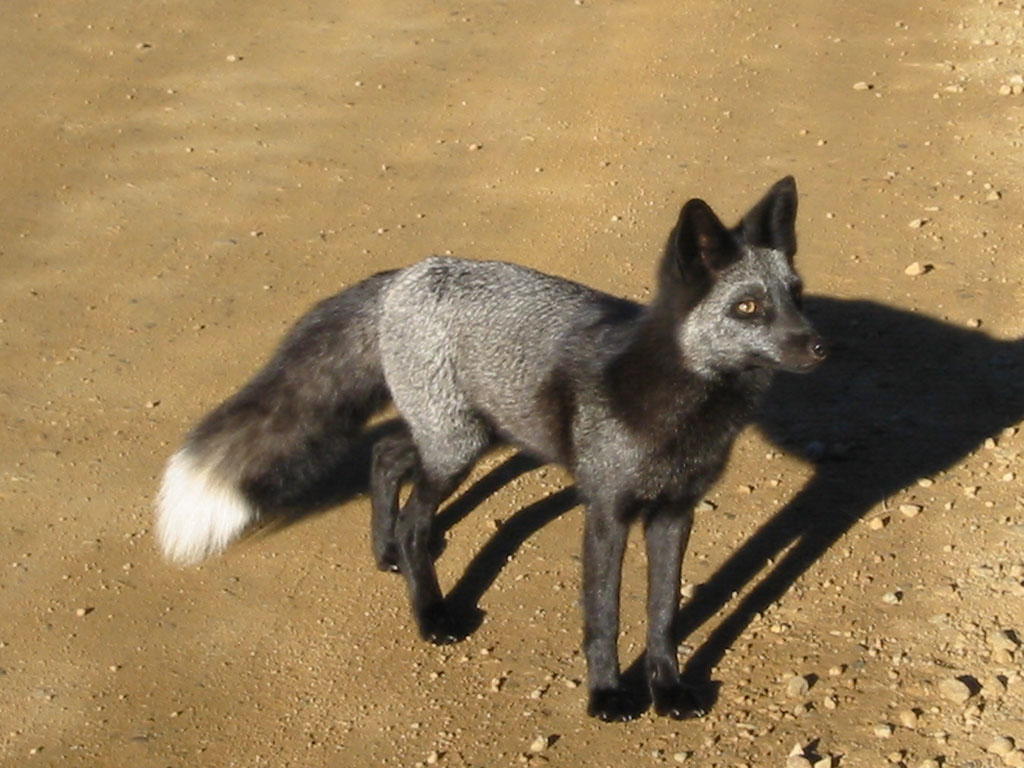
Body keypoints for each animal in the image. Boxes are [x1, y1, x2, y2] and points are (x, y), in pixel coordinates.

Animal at [156, 176, 826, 721]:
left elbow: (662, 612)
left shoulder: (674, 512)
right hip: (459, 445)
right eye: (748, 307)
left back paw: (385, 552)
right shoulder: (607, 511)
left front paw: (669, 688)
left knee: (387, 456)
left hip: (473, 433)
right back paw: (430, 613)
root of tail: (407, 274)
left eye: (797, 296)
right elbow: (605, 615)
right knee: (412, 512)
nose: (820, 347)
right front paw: (608, 694)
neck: (679, 409)